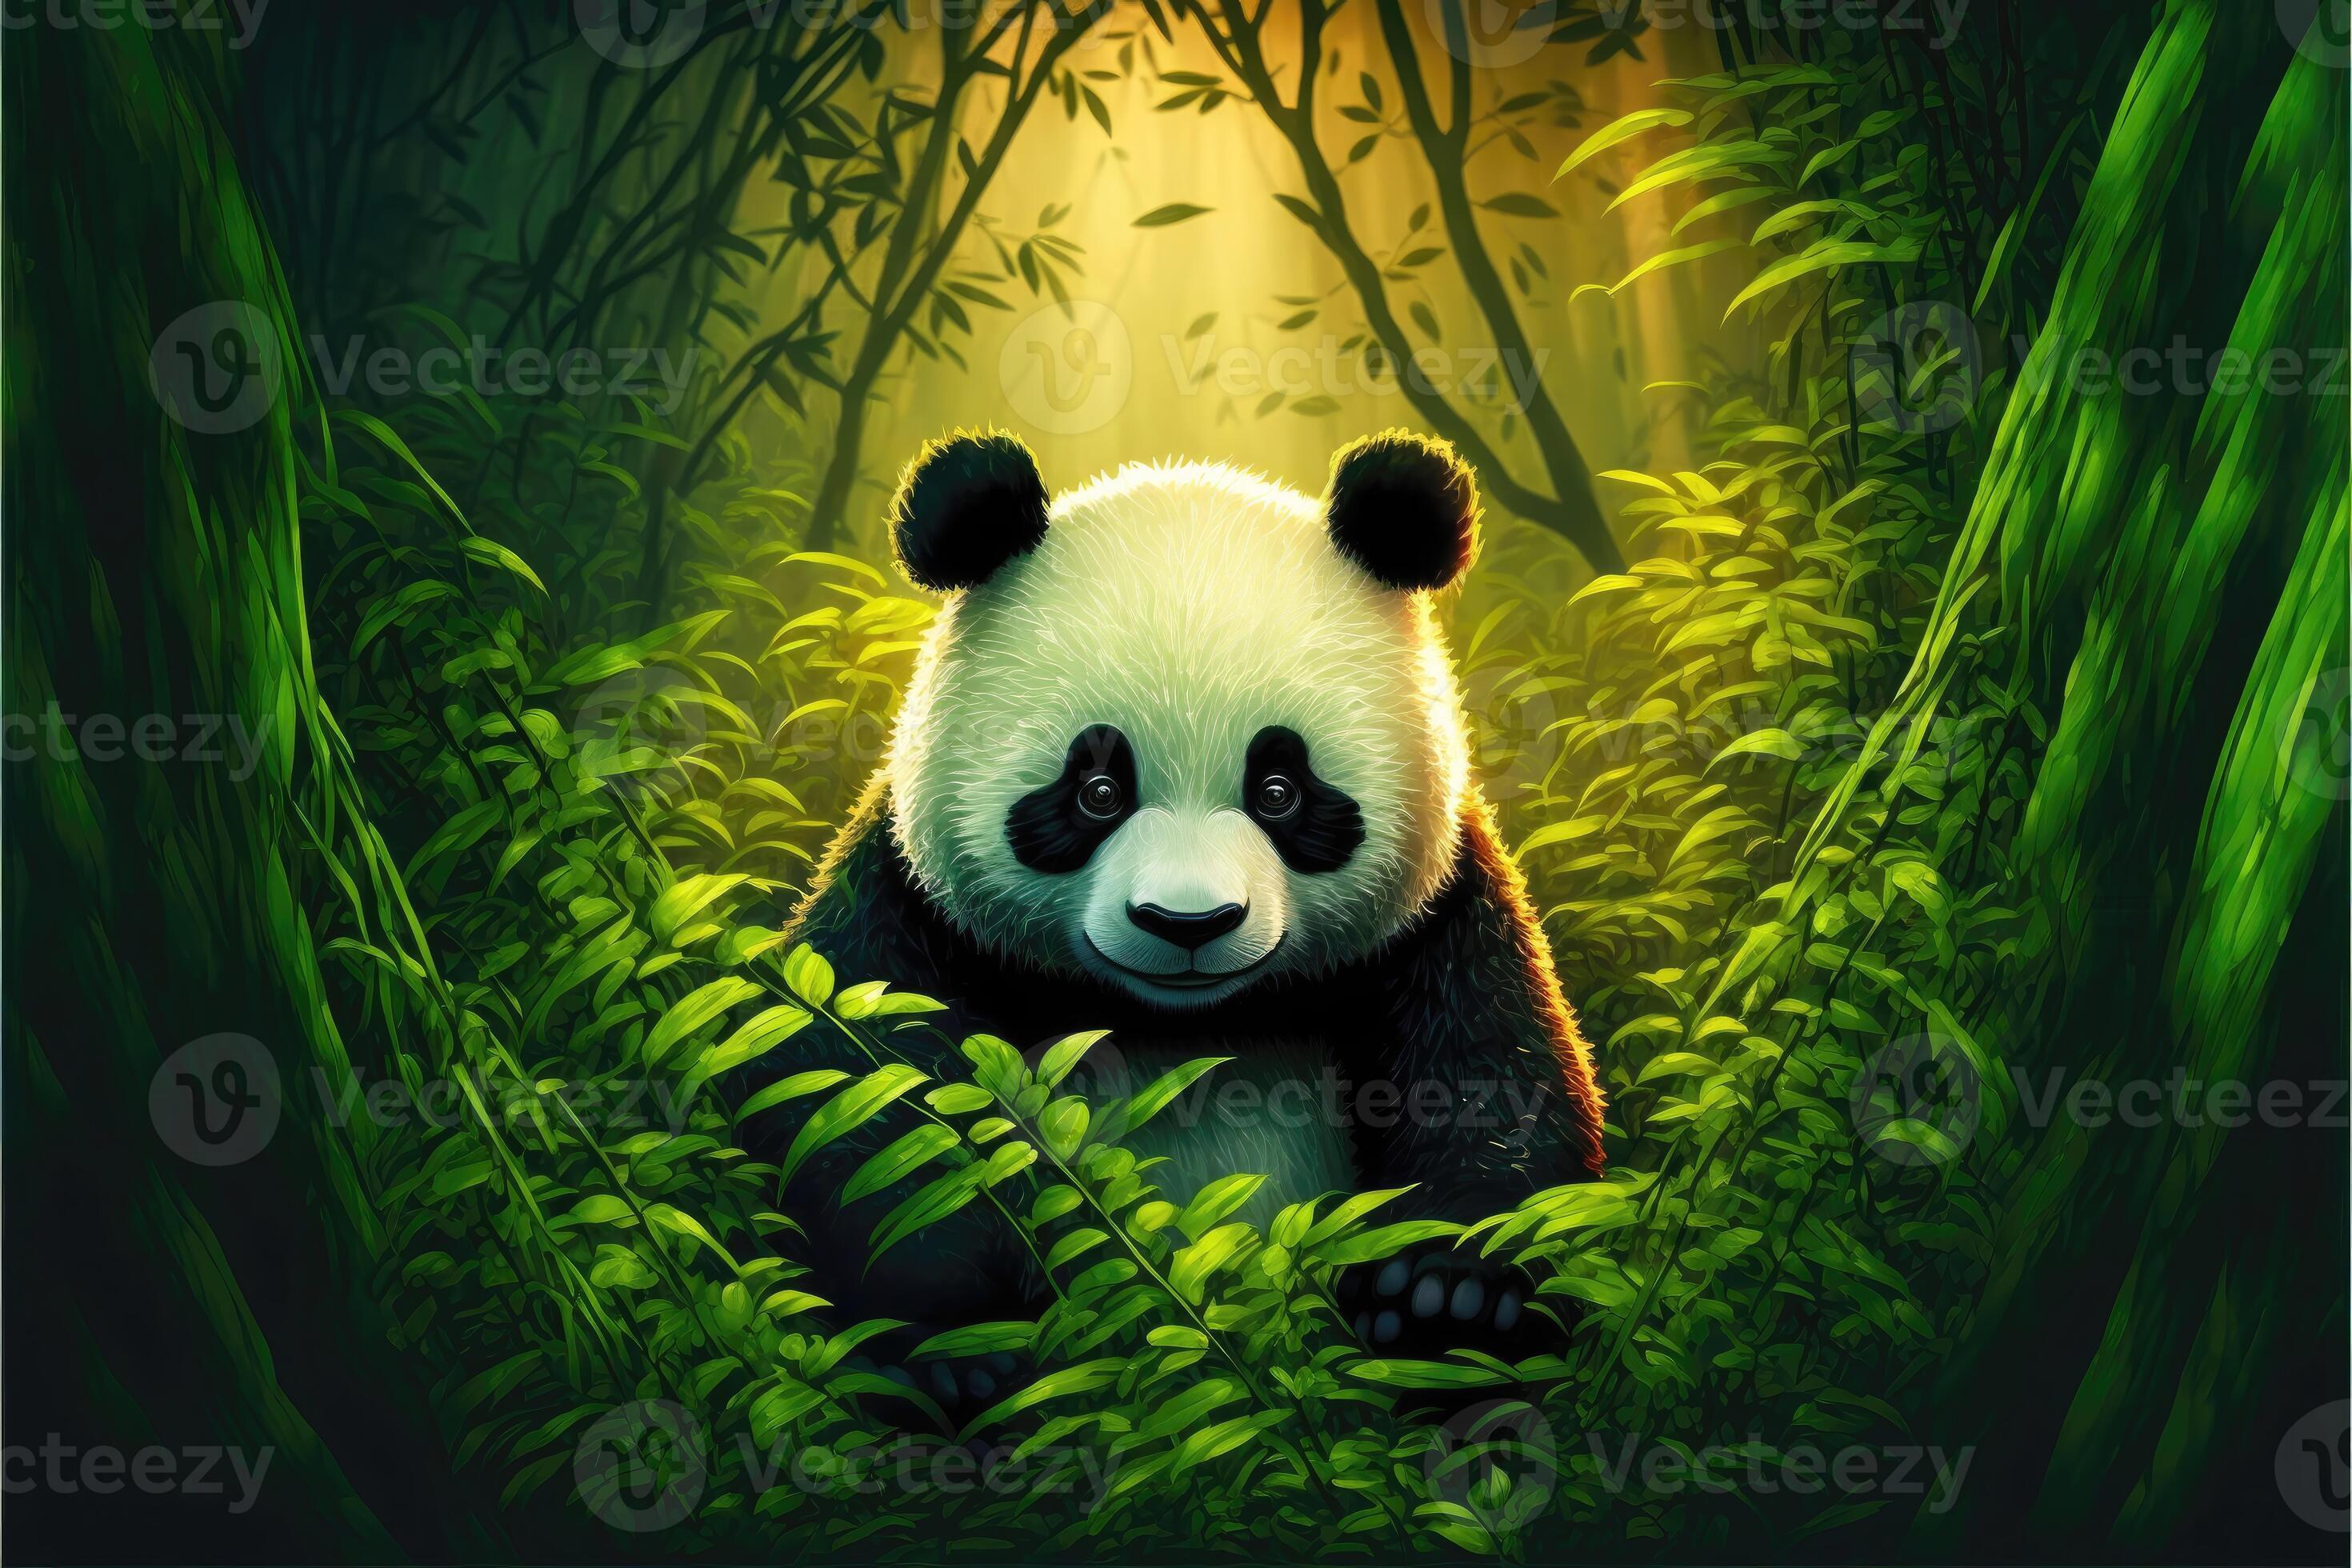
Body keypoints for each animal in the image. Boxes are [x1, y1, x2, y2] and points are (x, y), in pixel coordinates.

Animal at [743, 428, 1607, 1414]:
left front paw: (1446, 1298)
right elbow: (861, 1091)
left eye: (1280, 790)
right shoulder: (913, 903)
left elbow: (1493, 1073)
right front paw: (951, 1345)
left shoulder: (1436, 908)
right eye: (1097, 790)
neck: (1184, 1025)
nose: (1188, 923)